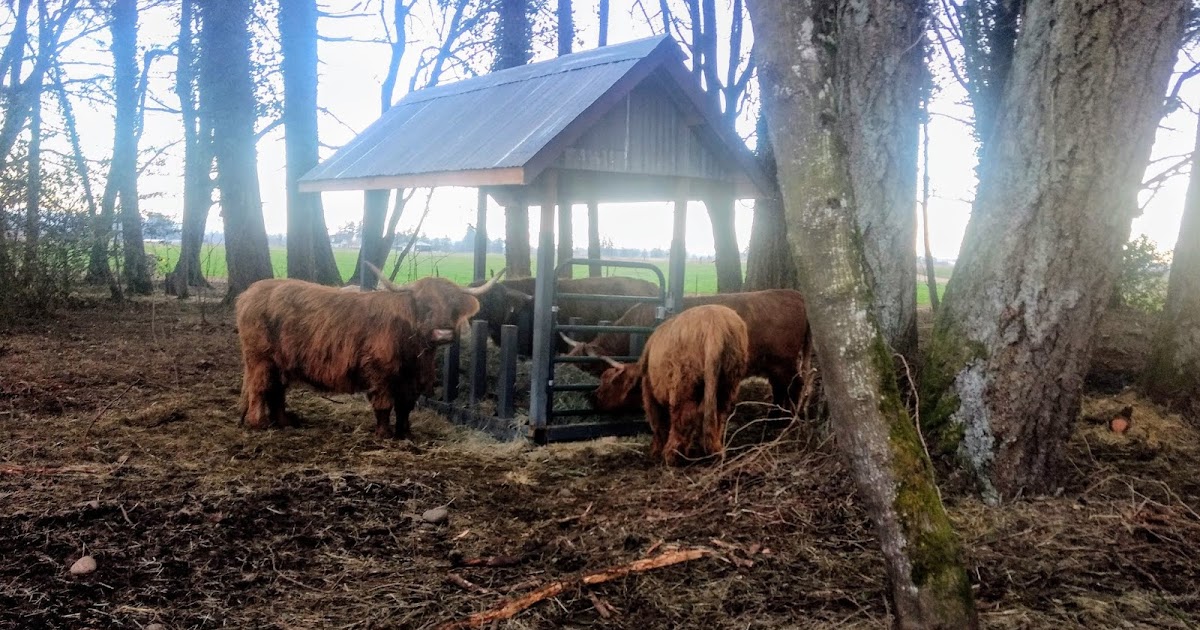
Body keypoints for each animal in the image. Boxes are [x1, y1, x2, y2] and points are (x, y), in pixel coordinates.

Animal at [235, 264, 504, 439]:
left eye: (452, 305)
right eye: (423, 304)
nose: (444, 333)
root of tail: (249, 293)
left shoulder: (411, 378)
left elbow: (405, 406)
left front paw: (405, 434)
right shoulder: (380, 372)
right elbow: (384, 404)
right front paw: (384, 434)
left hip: (280, 361)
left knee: (276, 390)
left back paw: (284, 422)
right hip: (260, 358)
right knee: (259, 388)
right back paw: (259, 424)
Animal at [562, 289, 813, 411]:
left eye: (582, 367)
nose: (589, 399)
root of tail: (794, 294)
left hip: (784, 362)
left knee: (794, 386)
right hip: (774, 365)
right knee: (781, 389)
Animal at [588, 305, 749, 465]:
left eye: (609, 382)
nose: (592, 397)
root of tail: (713, 324)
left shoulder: (650, 396)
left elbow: (658, 423)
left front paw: (655, 451)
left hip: (682, 388)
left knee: (683, 417)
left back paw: (672, 456)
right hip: (727, 385)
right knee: (719, 414)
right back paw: (714, 452)